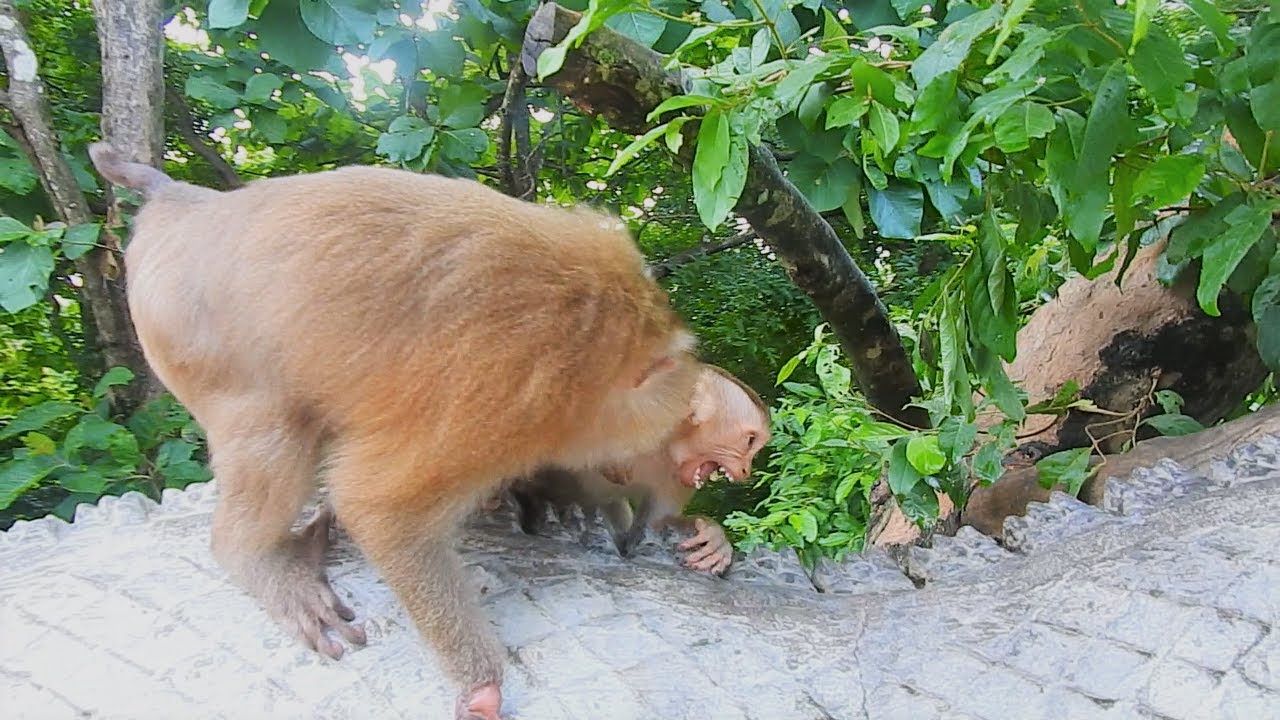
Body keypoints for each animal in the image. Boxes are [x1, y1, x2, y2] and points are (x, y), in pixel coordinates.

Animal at [88, 143, 702, 720]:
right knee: (272, 429)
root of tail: (180, 203)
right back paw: (252, 557)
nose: (662, 476)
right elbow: (382, 509)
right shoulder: (505, 397)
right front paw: (481, 684)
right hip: (185, 334)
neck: (600, 346)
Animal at [507, 363, 772, 576]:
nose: (747, 469)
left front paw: (714, 538)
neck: (668, 439)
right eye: (750, 441)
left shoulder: (676, 477)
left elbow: (654, 527)